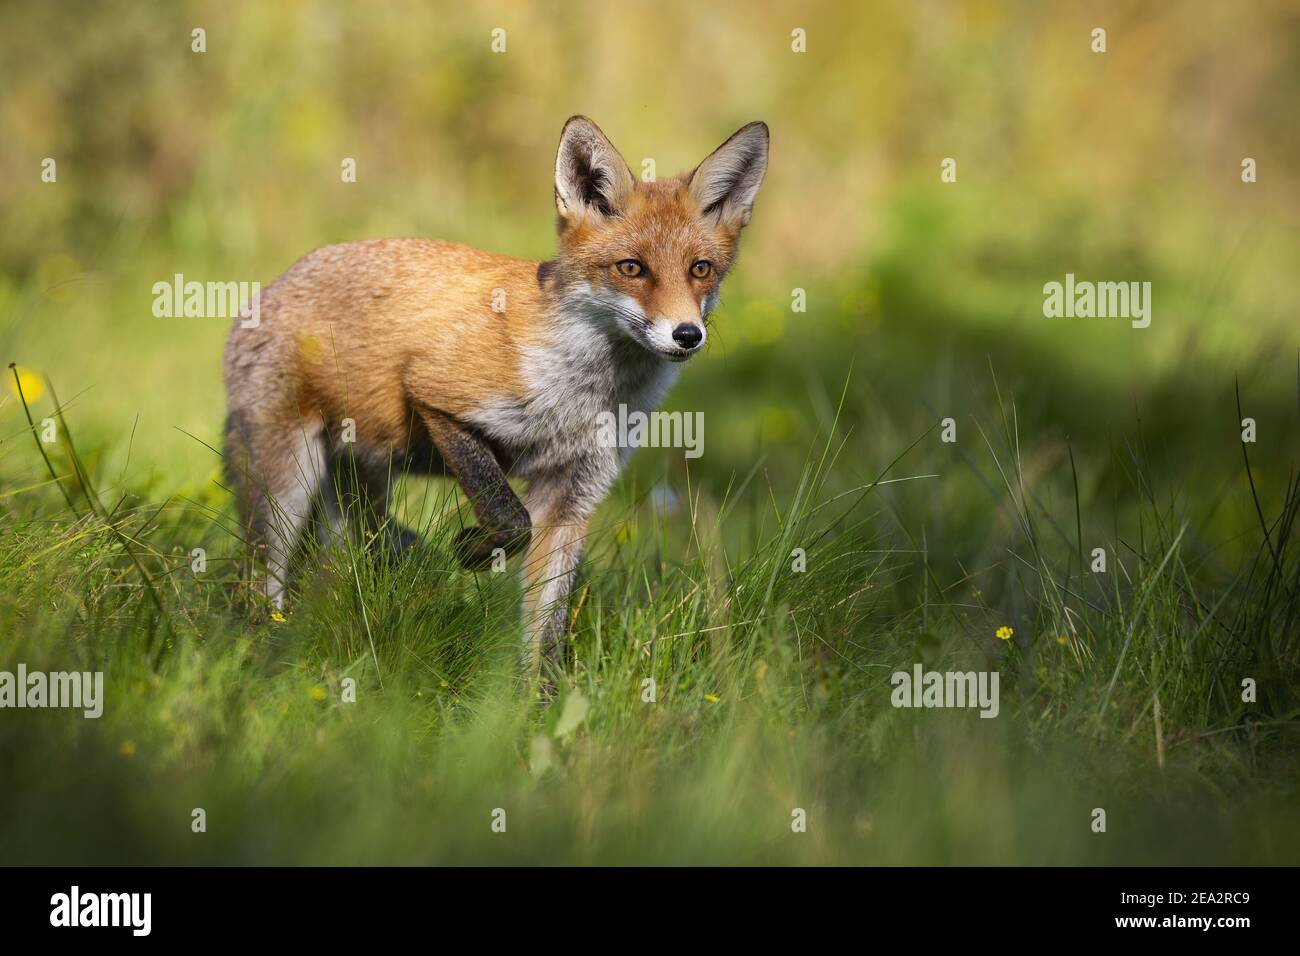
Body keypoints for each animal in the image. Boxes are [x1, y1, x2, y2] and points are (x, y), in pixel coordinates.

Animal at [223, 115, 769, 674]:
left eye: (700, 269)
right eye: (631, 268)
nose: (687, 335)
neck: (579, 395)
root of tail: (266, 290)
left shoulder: (573, 494)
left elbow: (546, 630)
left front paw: (541, 697)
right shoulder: (437, 397)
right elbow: (510, 518)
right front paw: (473, 550)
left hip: (361, 479)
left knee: (353, 553)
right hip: (287, 483)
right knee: (259, 582)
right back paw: (263, 647)